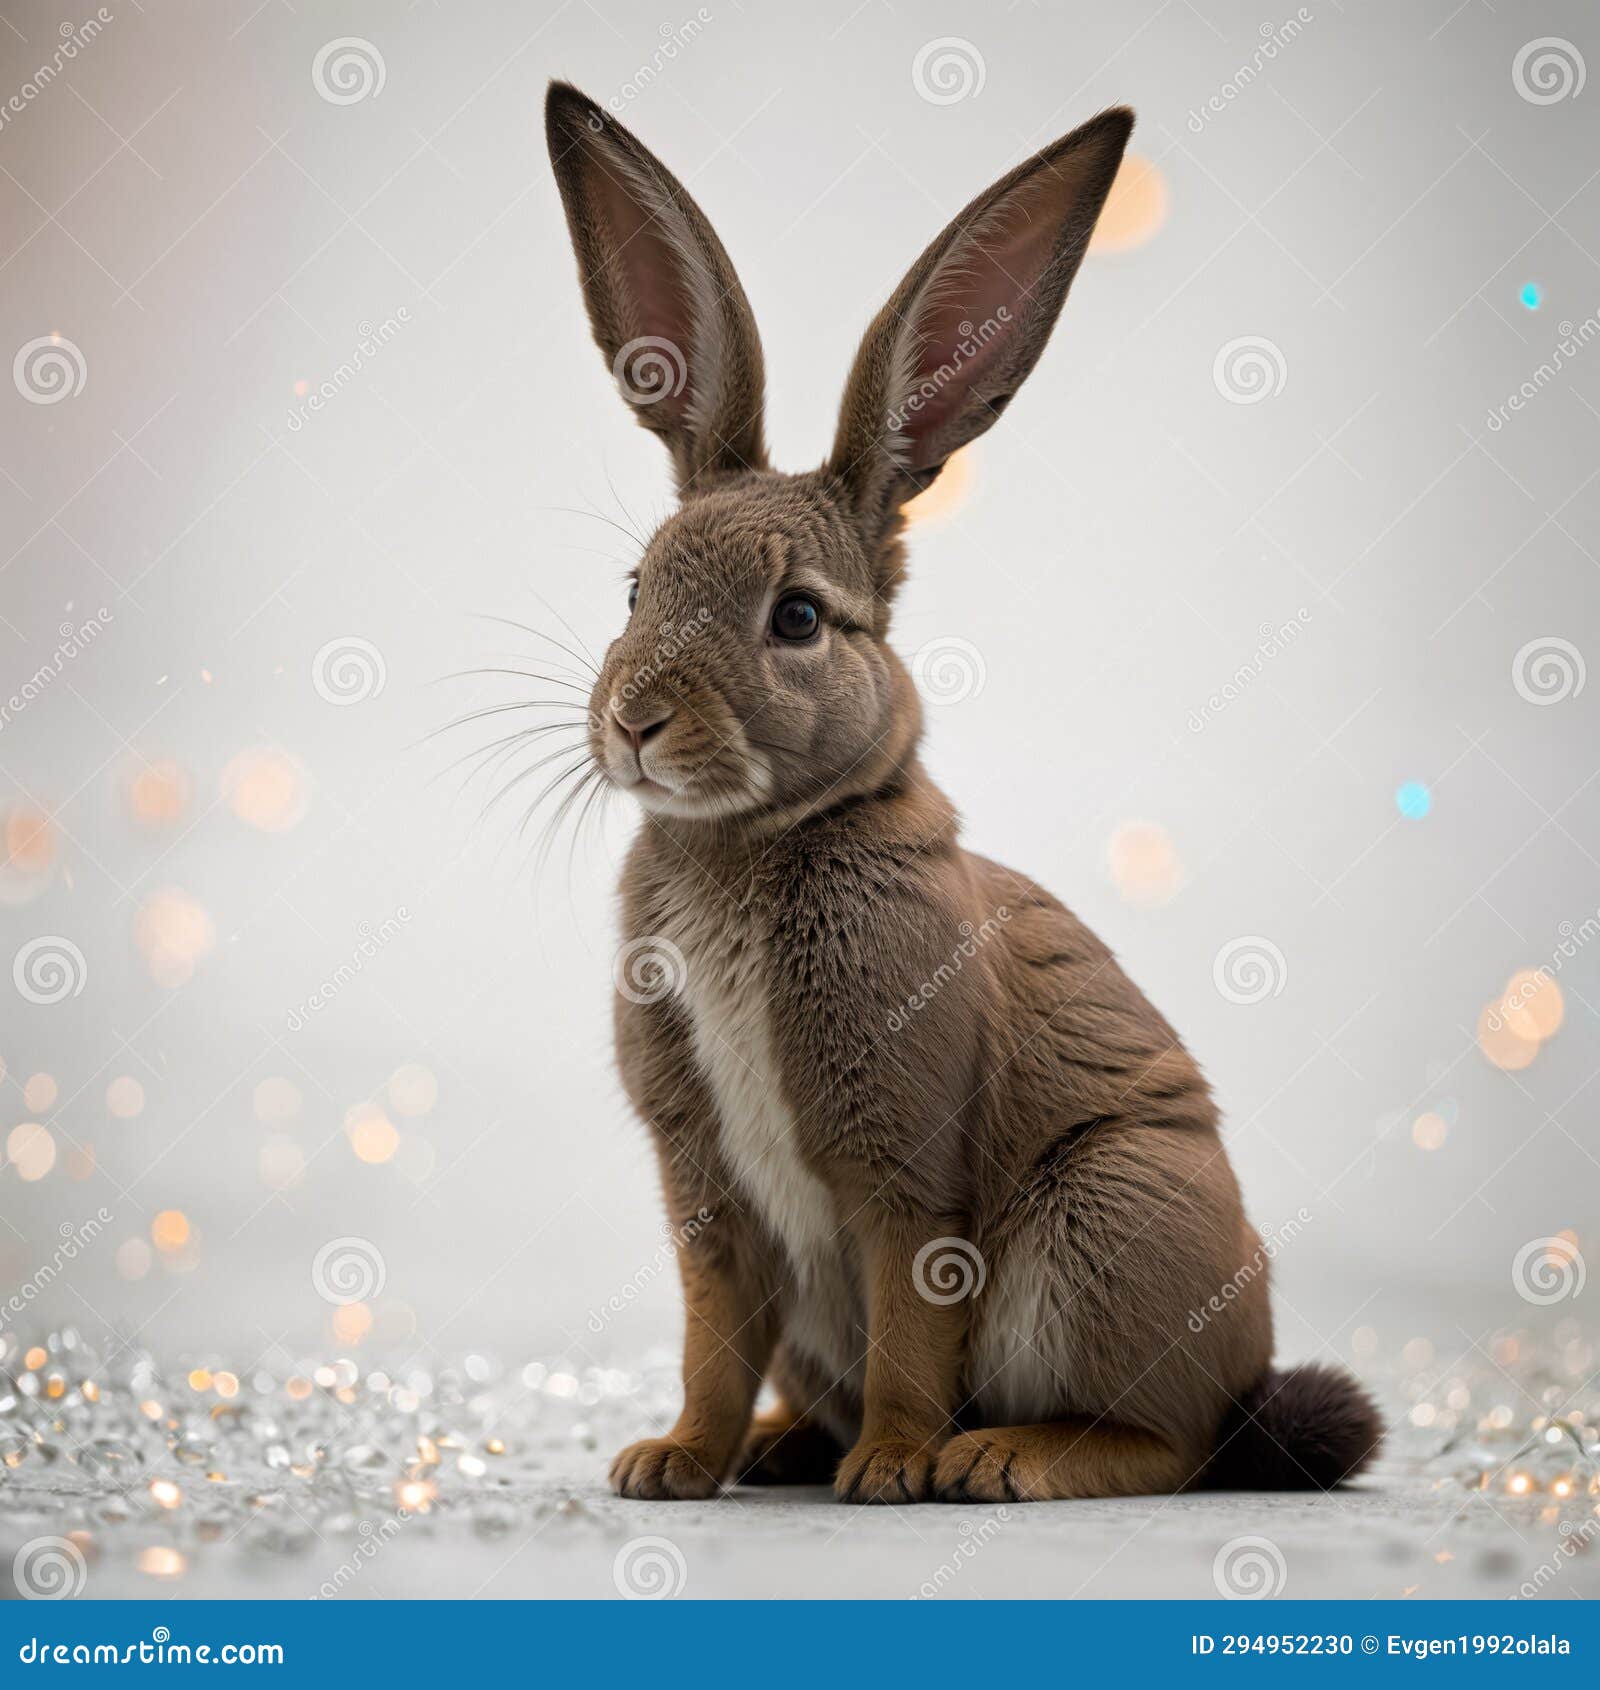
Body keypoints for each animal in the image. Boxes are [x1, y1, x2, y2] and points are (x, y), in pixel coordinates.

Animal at [544, 80, 1381, 1504]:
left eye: (798, 616)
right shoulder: (704, 1193)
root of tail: (1243, 1383)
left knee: (1164, 1446)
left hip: (1108, 1216)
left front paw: (889, 1468)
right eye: (637, 587)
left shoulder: (907, 1175)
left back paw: (987, 1459)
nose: (636, 723)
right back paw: (779, 1448)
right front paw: (674, 1462)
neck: (754, 841)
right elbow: (712, 1339)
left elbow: (909, 1323)